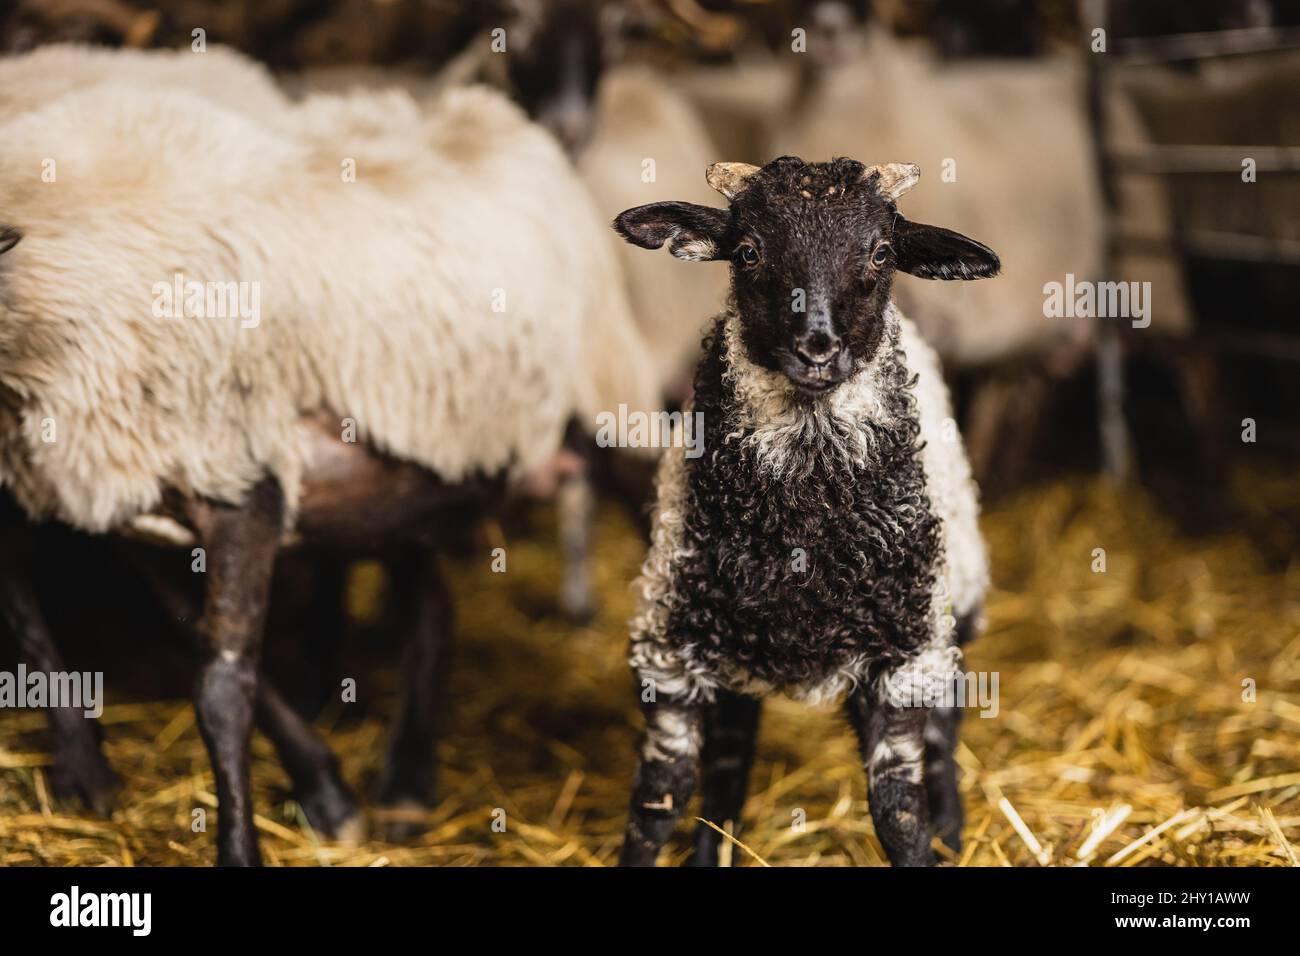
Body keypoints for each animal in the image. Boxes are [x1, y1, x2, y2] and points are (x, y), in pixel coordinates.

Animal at [0, 76, 658, 864]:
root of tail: (491, 111)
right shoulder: (135, 508)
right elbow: (215, 657)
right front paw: (328, 796)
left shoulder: (239, 477)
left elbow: (220, 691)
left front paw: (244, 845)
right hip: (411, 479)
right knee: (434, 609)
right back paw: (406, 789)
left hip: (610, 396)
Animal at [611, 155, 997, 867]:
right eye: (748, 251)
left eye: (880, 253)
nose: (818, 346)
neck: (804, 528)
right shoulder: (671, 648)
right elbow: (659, 800)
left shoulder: (905, 654)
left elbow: (899, 812)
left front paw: (930, 836)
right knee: (730, 755)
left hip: (951, 609)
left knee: (945, 729)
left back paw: (954, 829)